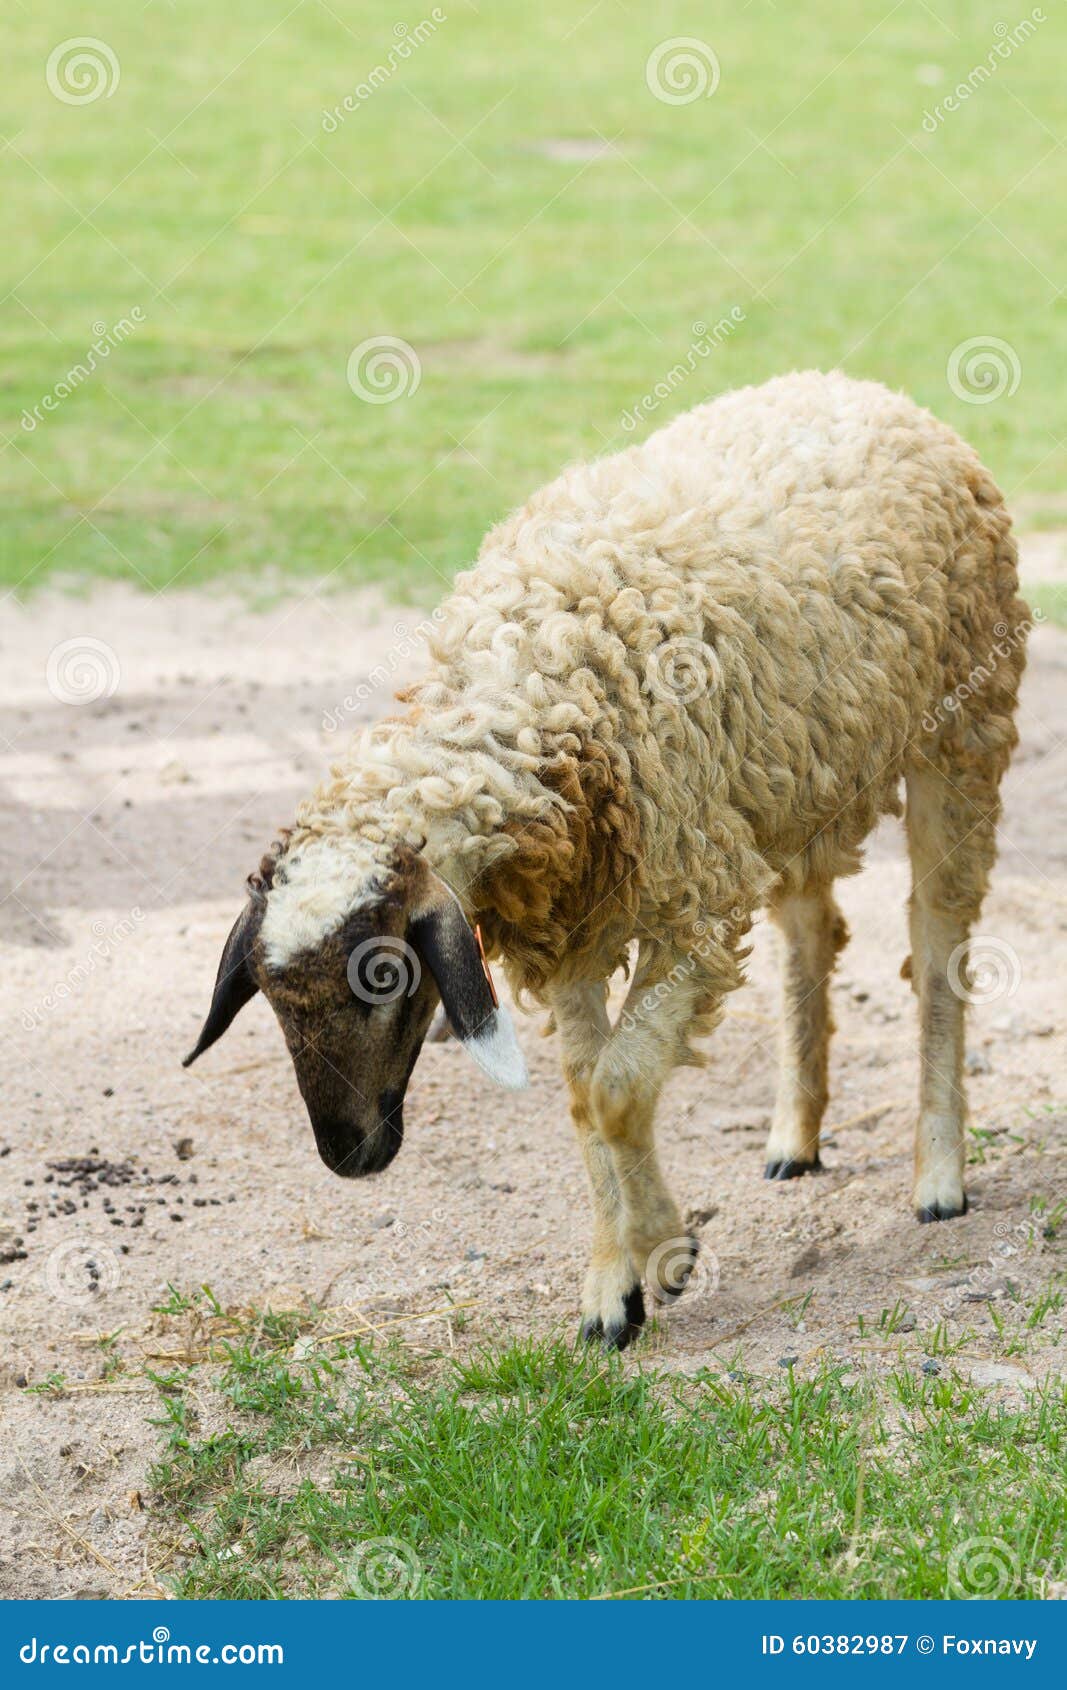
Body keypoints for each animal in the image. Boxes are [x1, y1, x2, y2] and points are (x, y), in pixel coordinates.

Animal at [185, 369, 1028, 1350]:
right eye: (268, 994)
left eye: (385, 977)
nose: (347, 1156)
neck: (539, 690)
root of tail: (857, 386)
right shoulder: (571, 928)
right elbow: (584, 1094)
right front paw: (611, 1287)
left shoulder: (691, 907)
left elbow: (620, 1088)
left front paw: (666, 1249)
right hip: (789, 780)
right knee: (811, 928)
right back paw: (795, 1135)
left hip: (960, 731)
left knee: (936, 947)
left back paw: (938, 1176)